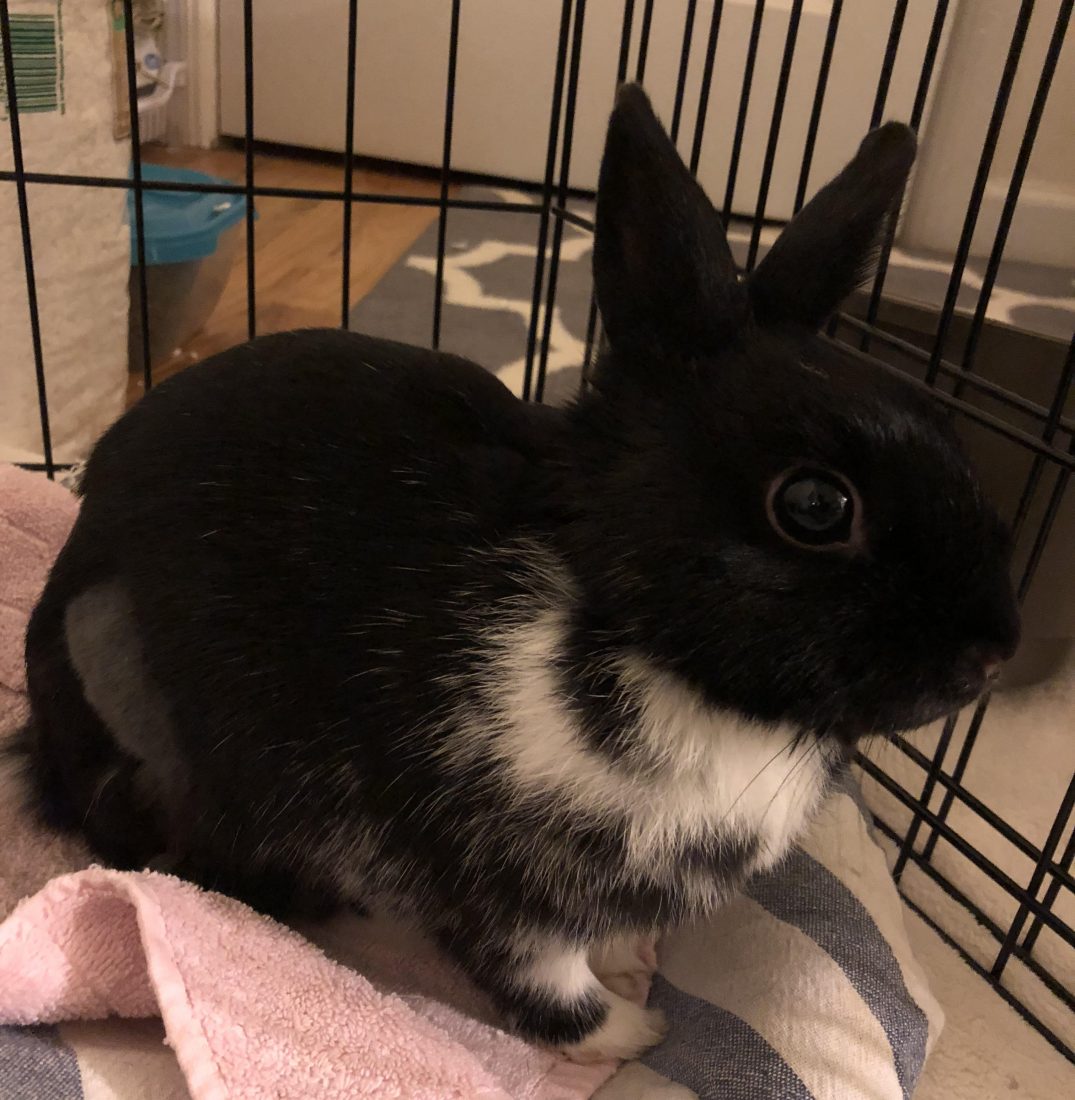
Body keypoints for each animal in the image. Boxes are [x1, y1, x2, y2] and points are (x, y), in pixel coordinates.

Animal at [15, 85, 1019, 1063]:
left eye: (950, 436)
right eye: (814, 505)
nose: (990, 657)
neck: (646, 647)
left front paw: (633, 969)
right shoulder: (488, 877)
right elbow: (540, 976)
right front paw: (626, 1034)